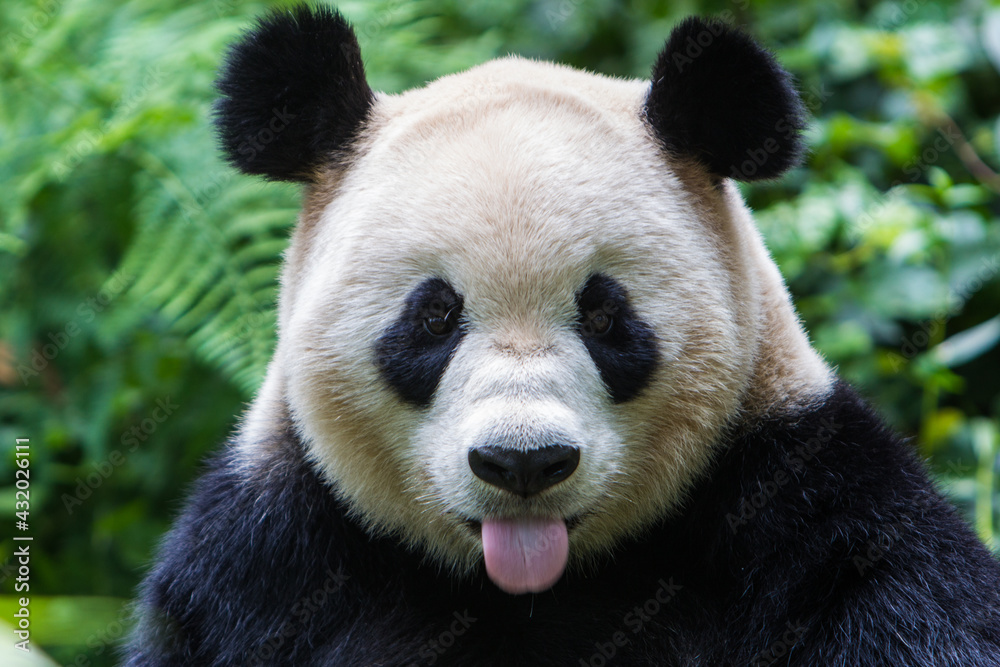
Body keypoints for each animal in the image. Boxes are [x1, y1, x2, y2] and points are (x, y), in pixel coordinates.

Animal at [126, 6, 1000, 666]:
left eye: (606, 316)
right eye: (434, 316)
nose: (523, 462)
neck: (529, 589)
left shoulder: (810, 516)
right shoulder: (265, 566)